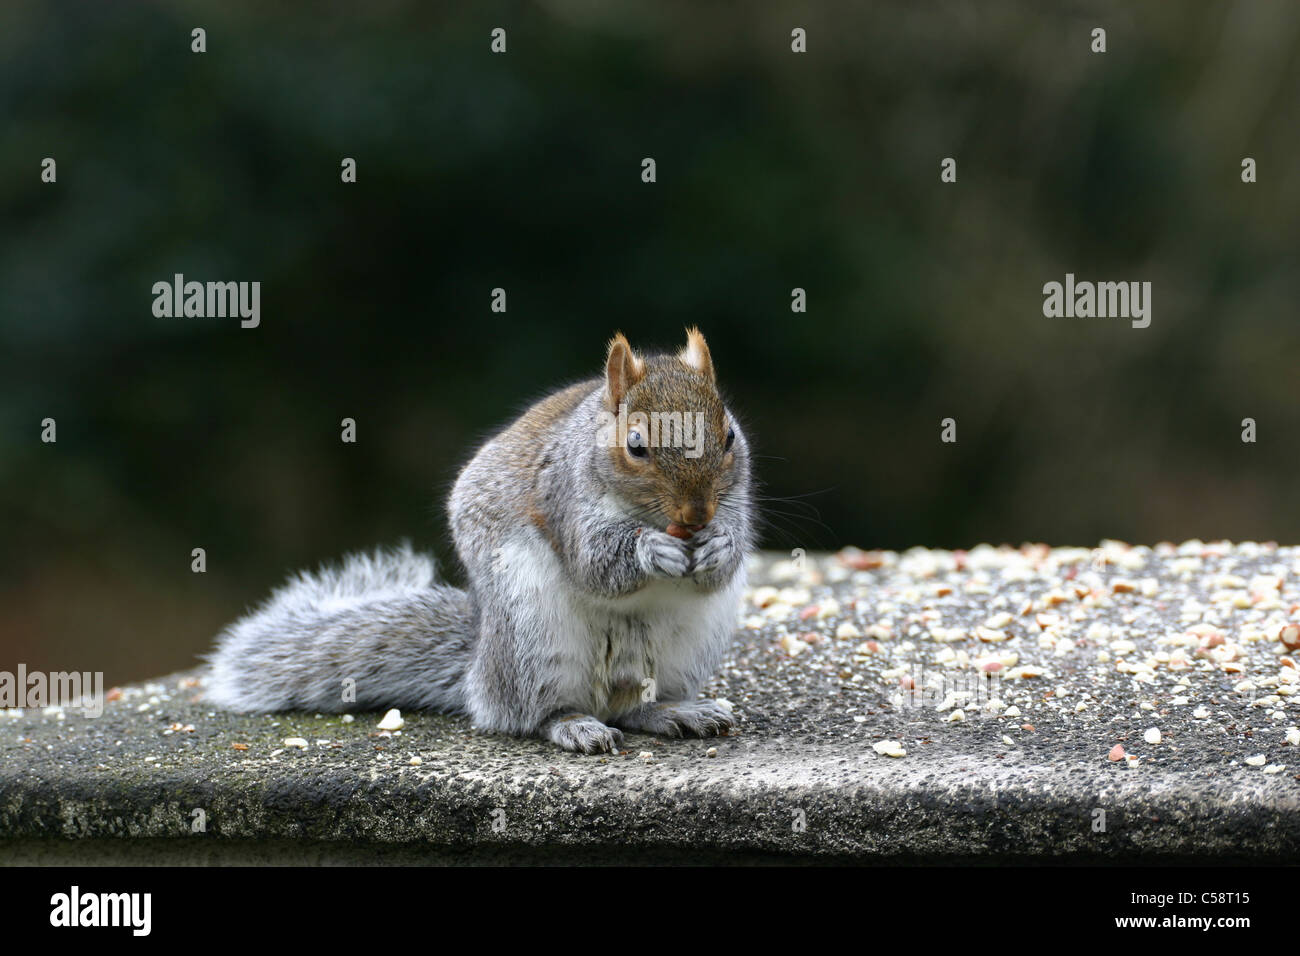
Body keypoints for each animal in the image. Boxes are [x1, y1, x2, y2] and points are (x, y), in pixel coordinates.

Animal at [205, 328, 754, 753]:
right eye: (636, 445)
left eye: (729, 435)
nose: (697, 514)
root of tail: (477, 671)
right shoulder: (563, 498)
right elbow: (594, 564)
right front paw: (650, 550)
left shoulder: (735, 502)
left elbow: (725, 556)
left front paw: (721, 545)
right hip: (531, 639)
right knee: (532, 714)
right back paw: (573, 725)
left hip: (689, 645)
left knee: (633, 708)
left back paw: (674, 711)